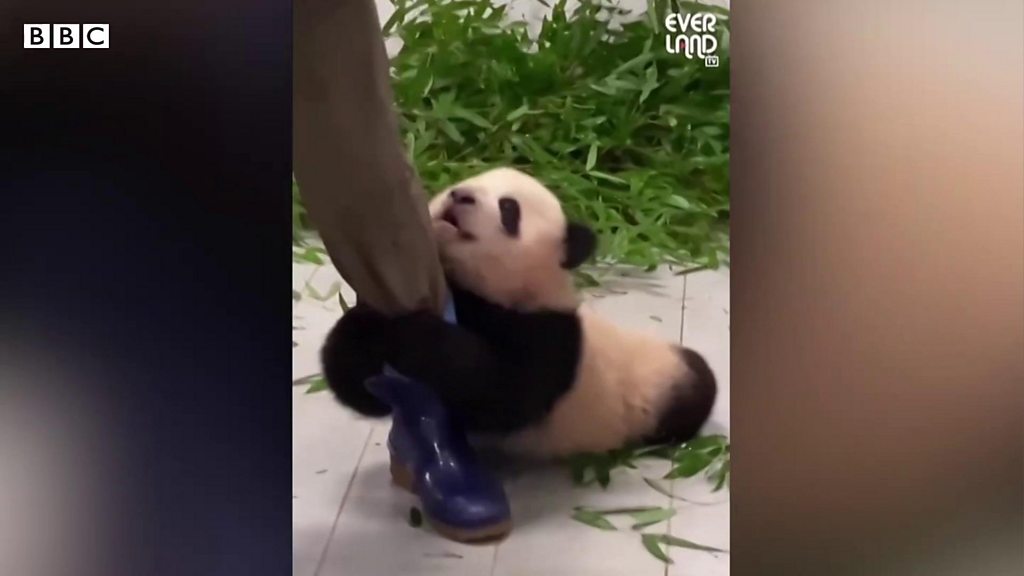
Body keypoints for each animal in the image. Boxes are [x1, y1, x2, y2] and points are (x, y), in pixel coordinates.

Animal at [321, 167, 717, 458]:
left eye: (508, 208)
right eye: (460, 186)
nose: (460, 196)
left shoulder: (549, 334)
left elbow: (497, 391)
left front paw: (417, 335)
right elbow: (366, 388)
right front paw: (368, 332)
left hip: (664, 384)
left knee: (698, 386)